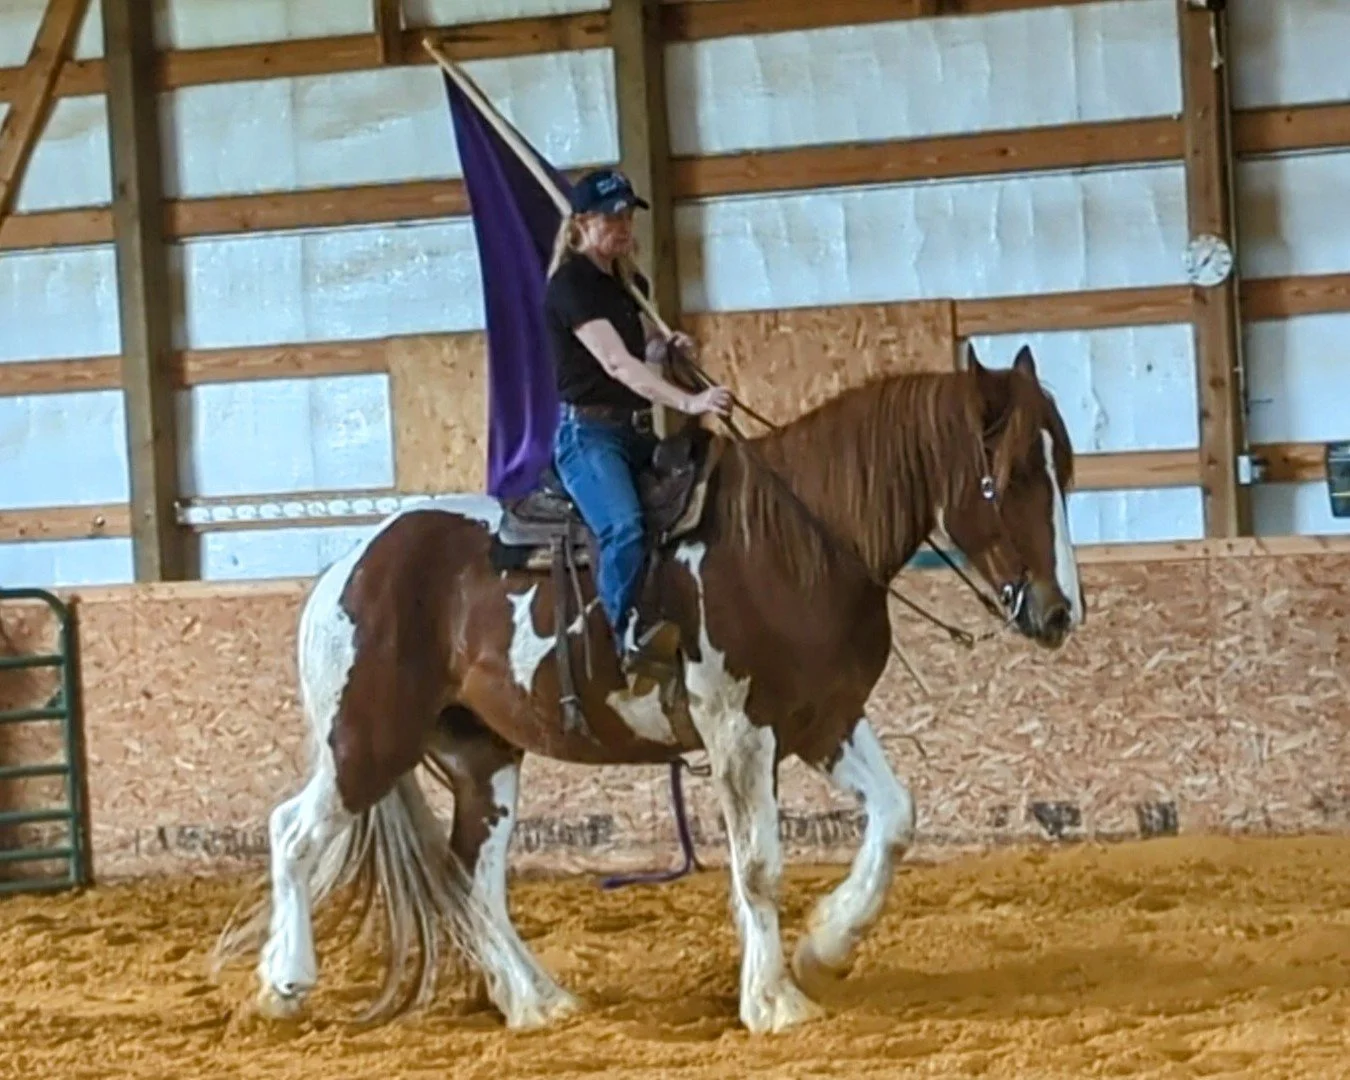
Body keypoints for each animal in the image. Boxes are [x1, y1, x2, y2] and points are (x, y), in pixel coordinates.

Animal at [213, 341, 1085, 1035]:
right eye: (1006, 478)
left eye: (1064, 470)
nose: (1058, 611)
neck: (795, 541)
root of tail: (347, 568)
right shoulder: (739, 729)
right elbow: (757, 863)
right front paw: (773, 1003)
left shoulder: (822, 719)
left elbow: (895, 819)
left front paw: (825, 947)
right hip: (368, 738)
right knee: (293, 832)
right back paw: (286, 982)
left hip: (481, 758)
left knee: (472, 874)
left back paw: (535, 1000)